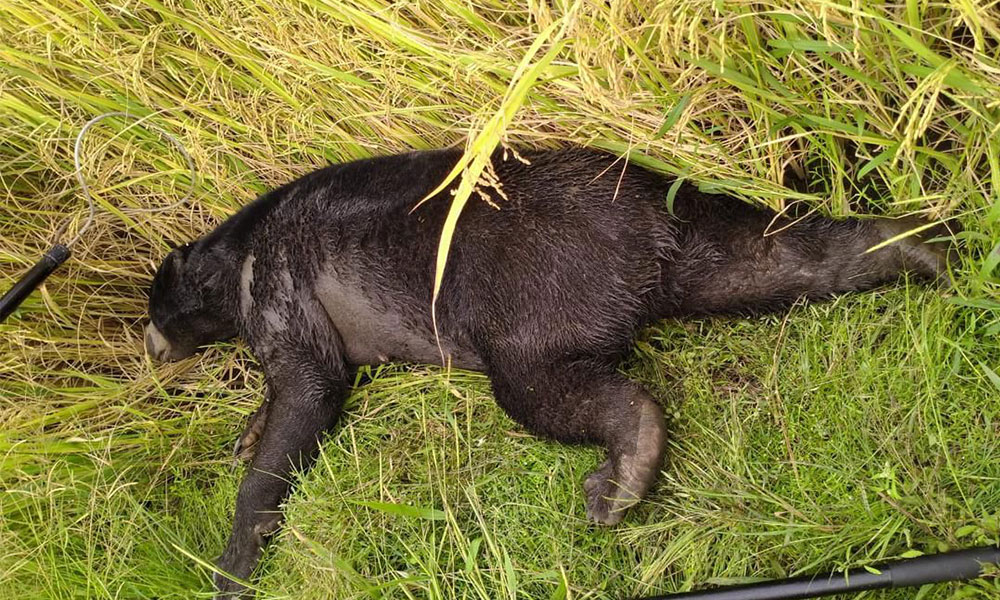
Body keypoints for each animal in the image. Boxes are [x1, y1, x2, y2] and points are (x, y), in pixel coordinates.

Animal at [144, 147, 954, 597]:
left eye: (153, 304)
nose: (149, 346)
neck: (235, 260)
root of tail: (648, 238)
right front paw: (247, 433)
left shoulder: (279, 283)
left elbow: (308, 391)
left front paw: (232, 561)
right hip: (695, 247)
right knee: (779, 255)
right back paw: (923, 247)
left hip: (528, 294)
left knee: (546, 388)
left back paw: (618, 481)